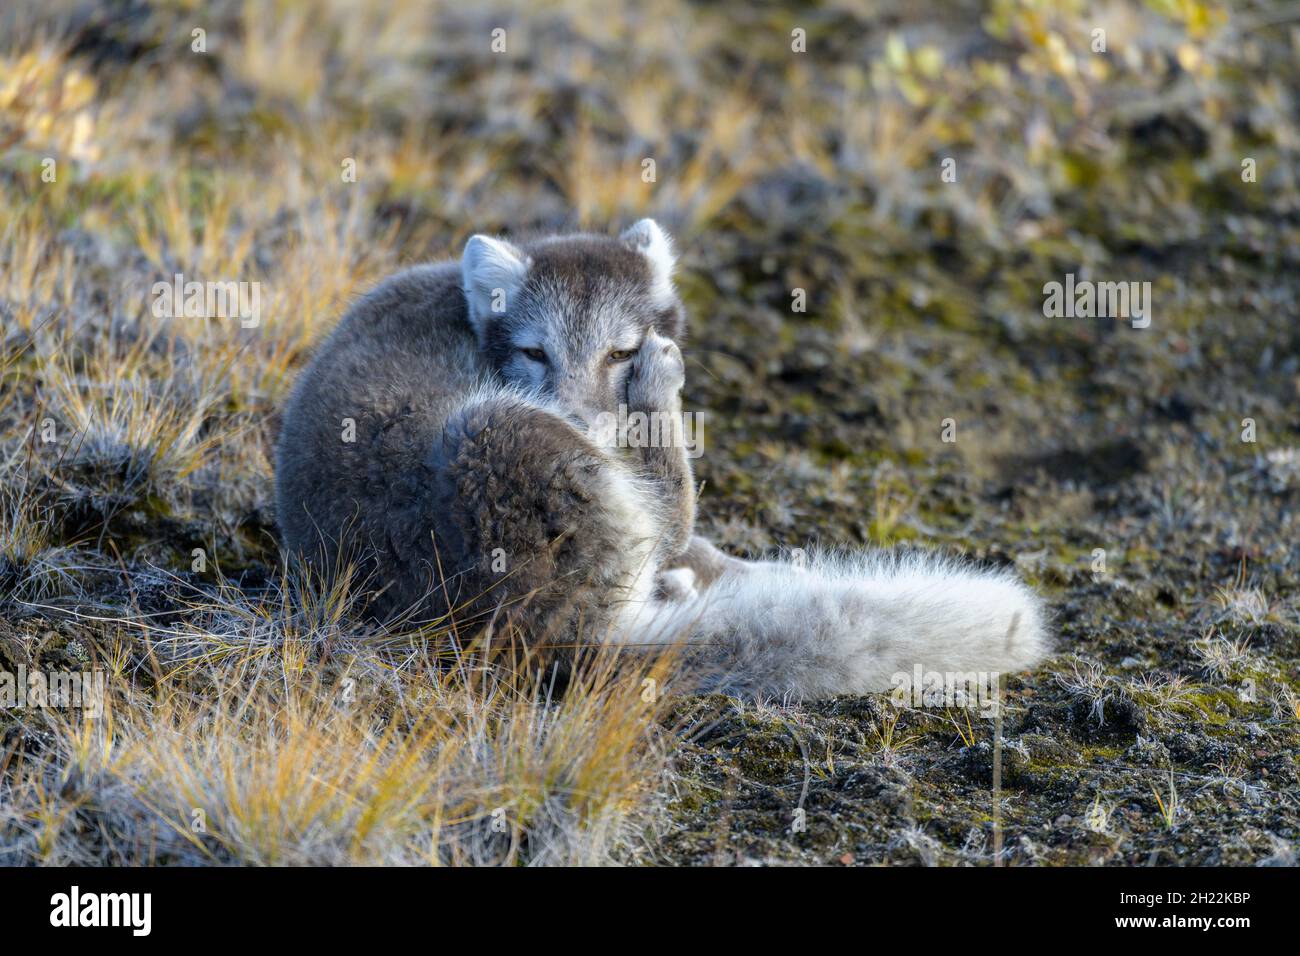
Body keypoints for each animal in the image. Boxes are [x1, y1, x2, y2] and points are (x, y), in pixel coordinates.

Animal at [275, 219, 1049, 698]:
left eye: (616, 350)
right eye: (534, 352)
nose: (584, 423)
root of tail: (534, 630)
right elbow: (676, 510)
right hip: (495, 432)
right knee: (671, 514)